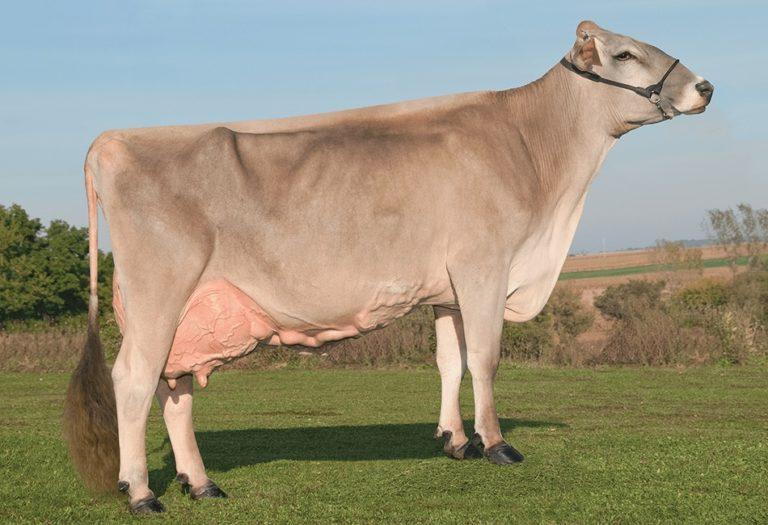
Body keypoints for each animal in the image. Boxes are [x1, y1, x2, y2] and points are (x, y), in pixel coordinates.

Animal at [63, 21, 713, 514]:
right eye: (625, 54)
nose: (704, 86)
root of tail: (111, 141)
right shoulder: (484, 265)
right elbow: (485, 358)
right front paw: (497, 444)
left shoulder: (448, 289)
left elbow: (451, 362)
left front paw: (455, 440)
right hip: (158, 294)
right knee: (134, 380)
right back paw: (141, 492)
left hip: (191, 312)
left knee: (174, 389)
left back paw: (201, 483)